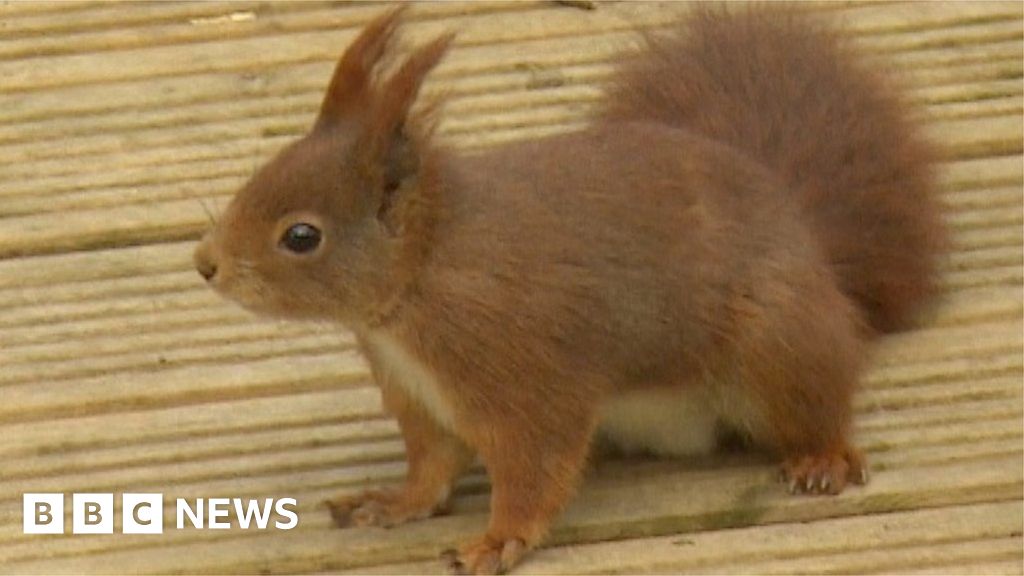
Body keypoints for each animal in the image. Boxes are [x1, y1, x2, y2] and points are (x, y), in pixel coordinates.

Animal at [193, 4, 945, 574]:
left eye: (301, 236)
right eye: (262, 170)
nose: (206, 264)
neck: (421, 279)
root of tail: (810, 246)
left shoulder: (523, 376)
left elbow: (535, 468)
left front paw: (498, 540)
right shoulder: (420, 397)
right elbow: (433, 466)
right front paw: (394, 501)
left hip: (777, 347)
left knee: (821, 401)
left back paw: (823, 457)